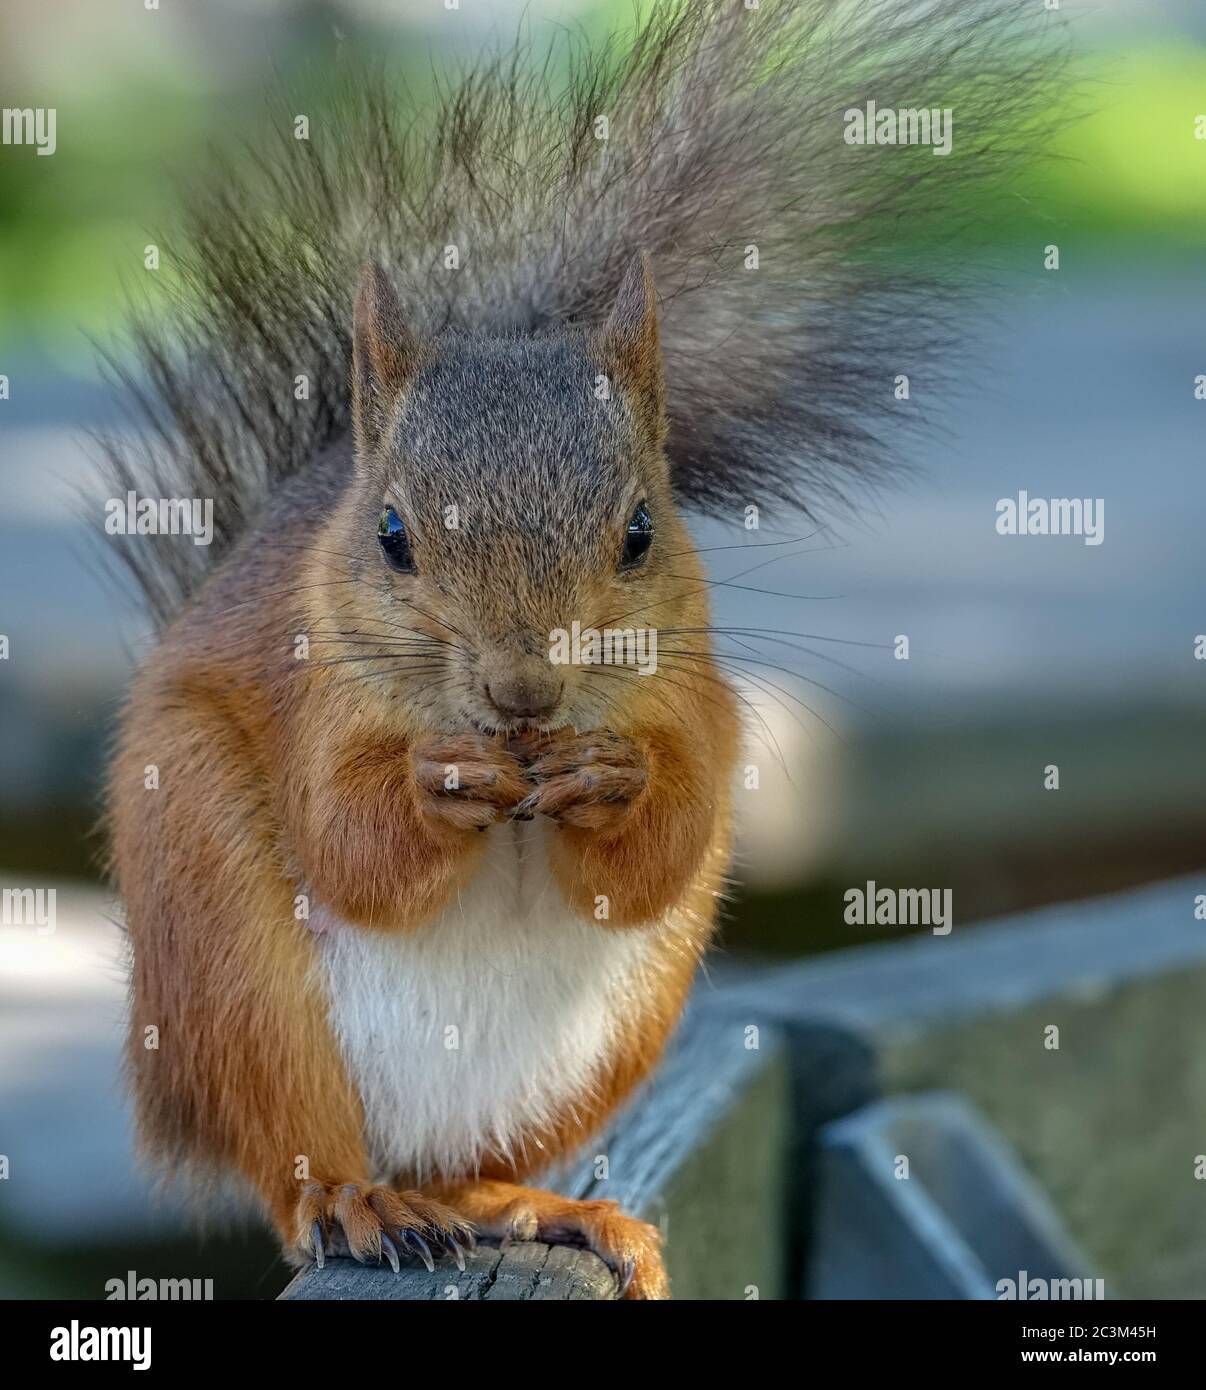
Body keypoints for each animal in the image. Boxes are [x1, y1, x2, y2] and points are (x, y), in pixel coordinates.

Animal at [101, 1, 1063, 1298]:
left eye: (643, 529)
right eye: (392, 536)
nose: (523, 691)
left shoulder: (701, 701)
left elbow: (664, 838)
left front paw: (616, 778)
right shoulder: (309, 695)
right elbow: (347, 840)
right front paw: (440, 776)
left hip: (611, 1033)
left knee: (472, 1166)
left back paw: (538, 1207)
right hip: (226, 956)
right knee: (293, 1159)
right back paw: (352, 1200)